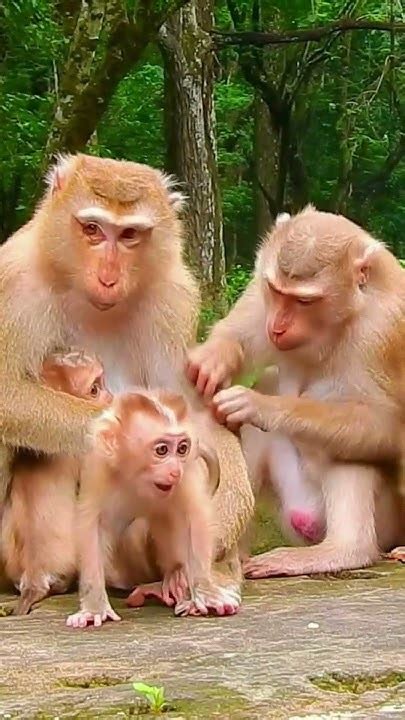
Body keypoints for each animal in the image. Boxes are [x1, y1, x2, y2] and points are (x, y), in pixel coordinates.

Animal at [66, 390, 241, 628]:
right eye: (162, 450)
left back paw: (175, 579)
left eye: (182, 449)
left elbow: (194, 518)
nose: (175, 471)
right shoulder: (99, 467)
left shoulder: (187, 471)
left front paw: (205, 592)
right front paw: (94, 608)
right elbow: (94, 527)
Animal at [187, 205, 405, 578]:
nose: (278, 326)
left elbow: (385, 425)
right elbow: (238, 334)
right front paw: (213, 360)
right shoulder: (262, 291)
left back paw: (345, 550)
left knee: (351, 441)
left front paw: (258, 405)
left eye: (305, 301)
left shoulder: (383, 332)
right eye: (277, 291)